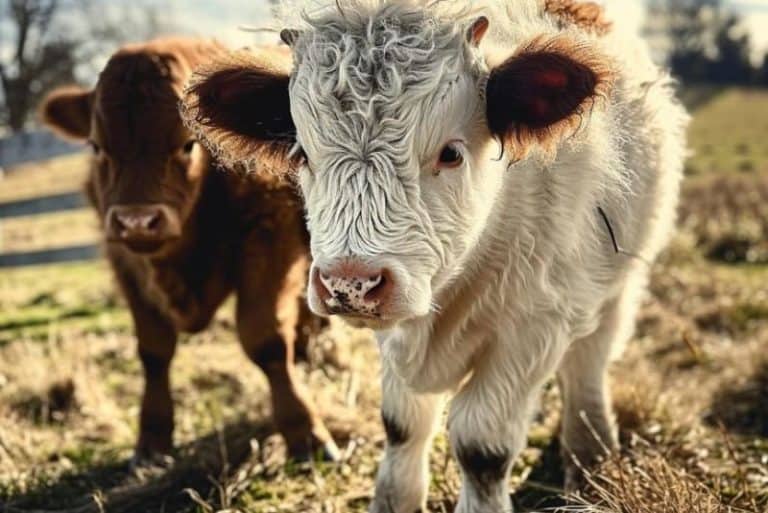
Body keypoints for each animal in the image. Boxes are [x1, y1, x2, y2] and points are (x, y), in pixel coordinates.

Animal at [40, 37, 338, 463]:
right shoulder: (127, 263)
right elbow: (153, 349)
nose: (137, 220)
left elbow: (263, 338)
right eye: (96, 147)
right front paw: (151, 440)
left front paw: (305, 434)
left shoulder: (269, 240)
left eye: (186, 144)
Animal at [181, 1, 688, 511]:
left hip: (618, 282)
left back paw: (591, 457)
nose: (351, 284)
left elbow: (481, 446)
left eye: (451, 153)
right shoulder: (395, 331)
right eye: (303, 153)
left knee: (590, 362)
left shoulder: (533, 330)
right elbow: (402, 424)